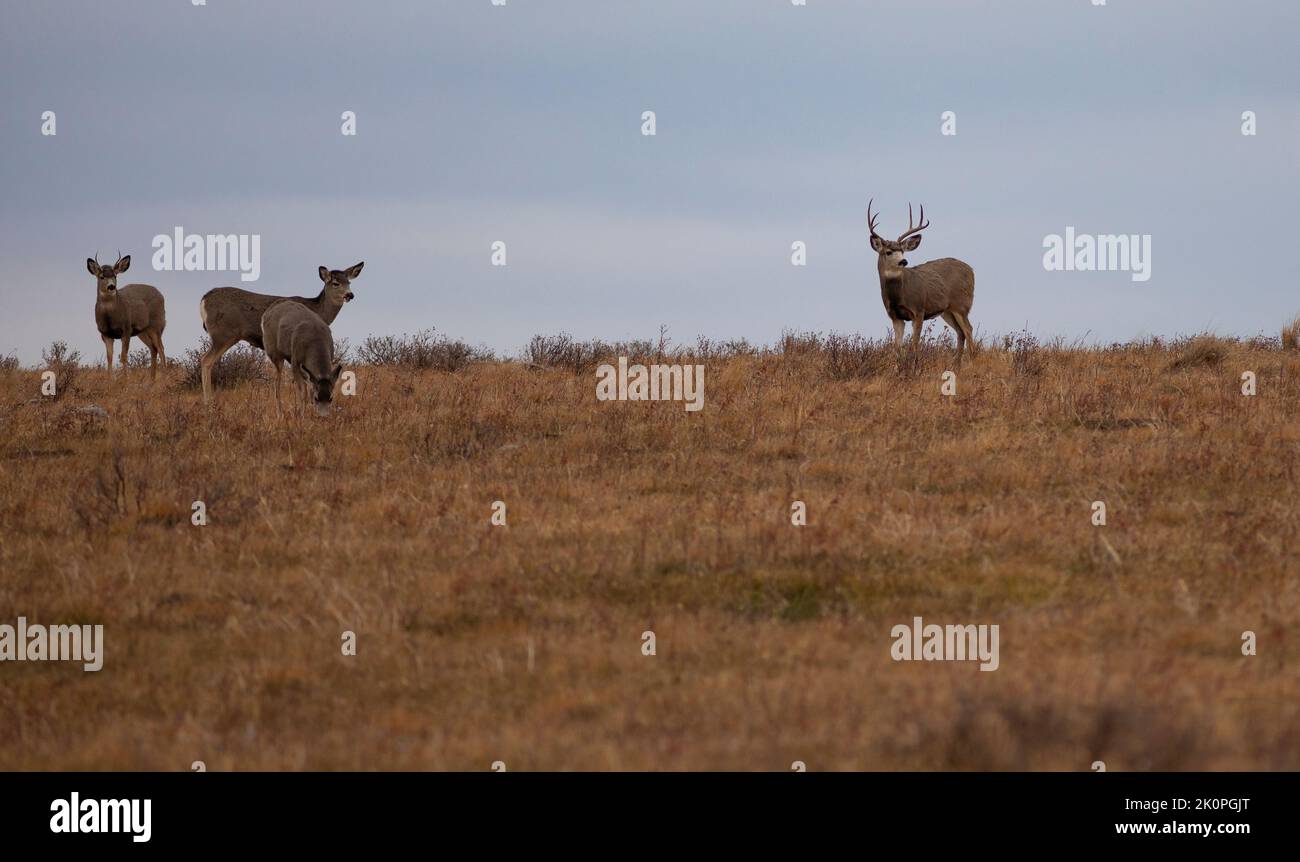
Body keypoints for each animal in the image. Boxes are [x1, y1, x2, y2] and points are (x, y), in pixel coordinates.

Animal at [198, 262, 362, 402]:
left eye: (349, 282)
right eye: (336, 283)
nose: (350, 295)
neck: (317, 311)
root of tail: (204, 298)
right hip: (223, 334)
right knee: (206, 360)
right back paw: (208, 402)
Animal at [867, 199, 976, 366]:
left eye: (902, 251)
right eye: (888, 252)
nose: (903, 261)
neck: (899, 295)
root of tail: (971, 270)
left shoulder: (918, 310)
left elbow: (914, 345)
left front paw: (914, 366)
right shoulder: (895, 316)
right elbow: (897, 348)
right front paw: (899, 368)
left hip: (961, 304)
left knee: (968, 329)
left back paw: (970, 363)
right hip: (947, 311)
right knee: (960, 332)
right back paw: (956, 365)